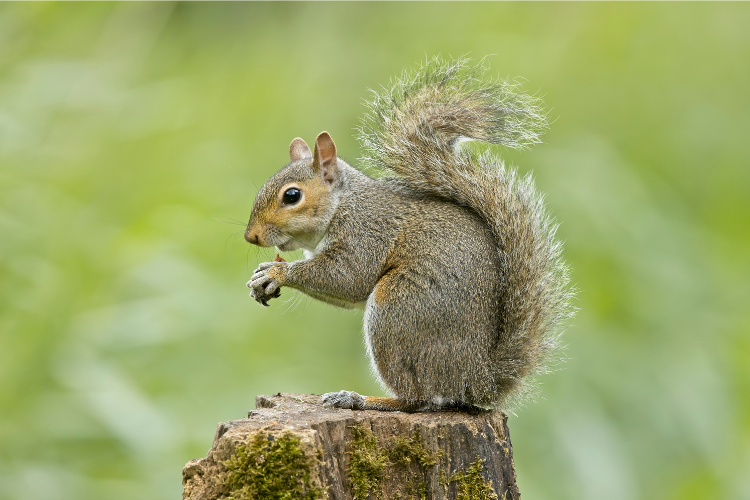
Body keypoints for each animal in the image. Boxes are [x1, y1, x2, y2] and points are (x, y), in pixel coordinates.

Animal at [244, 57, 574, 412]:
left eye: (292, 196)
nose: (251, 237)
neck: (343, 204)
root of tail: (475, 380)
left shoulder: (367, 233)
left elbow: (349, 278)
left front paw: (277, 273)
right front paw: (265, 274)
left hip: (398, 309)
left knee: (416, 398)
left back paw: (361, 399)